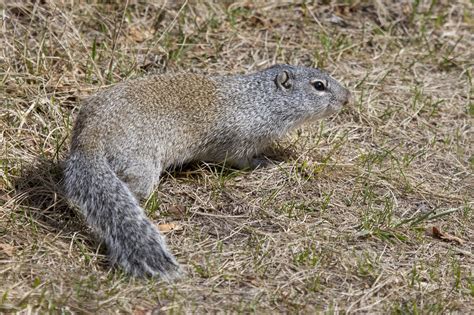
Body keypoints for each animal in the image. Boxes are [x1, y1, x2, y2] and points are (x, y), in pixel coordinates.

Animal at [63, 63, 350, 278]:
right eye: (319, 86)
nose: (348, 98)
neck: (261, 101)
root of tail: (88, 140)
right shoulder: (238, 141)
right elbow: (238, 160)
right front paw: (263, 163)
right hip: (141, 166)